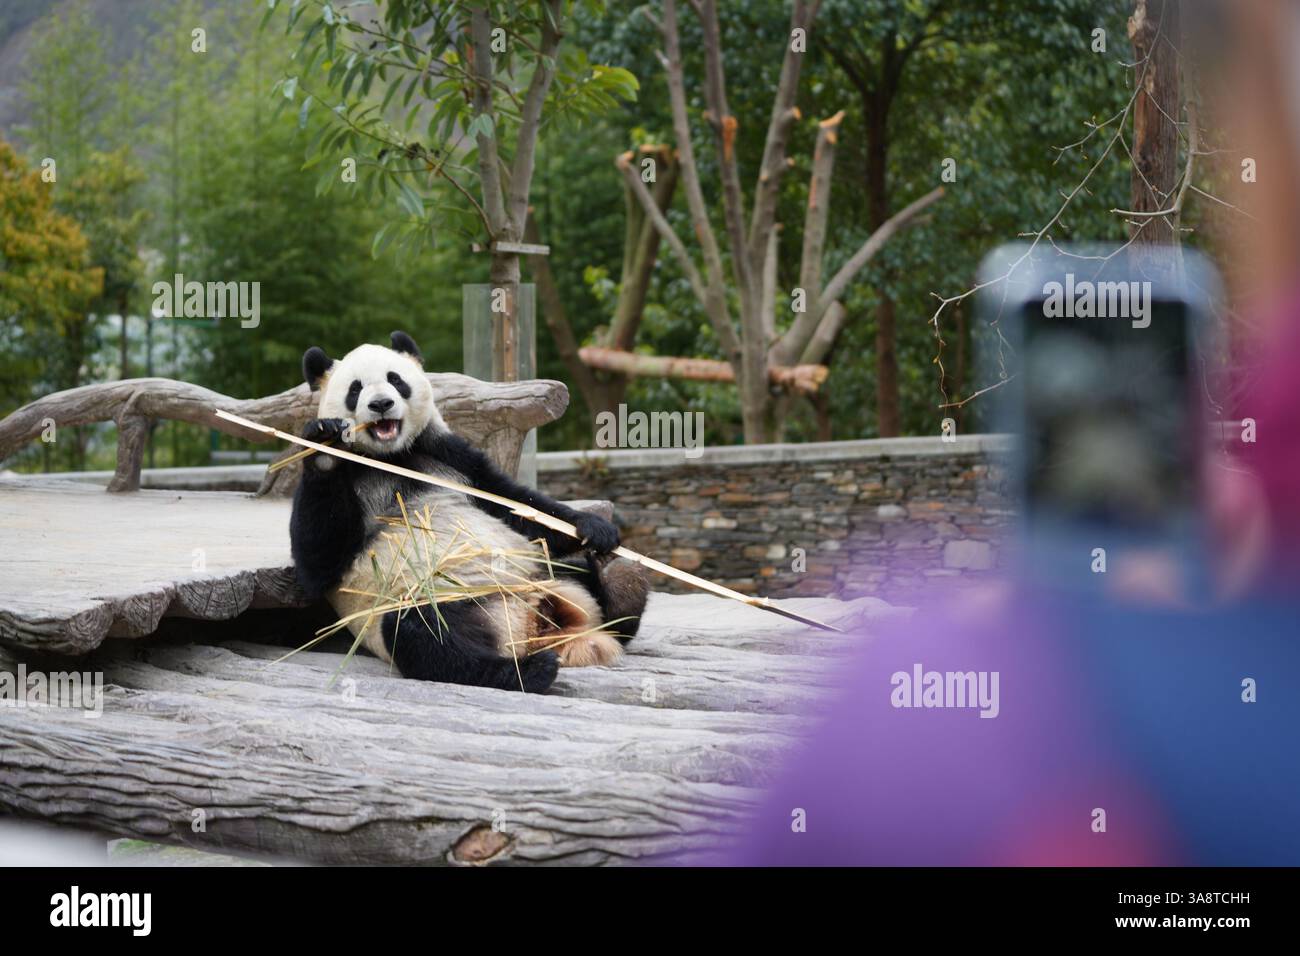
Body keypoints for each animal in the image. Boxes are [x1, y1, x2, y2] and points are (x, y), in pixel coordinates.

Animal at [289, 331, 649, 694]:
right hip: (435, 600)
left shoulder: (448, 455)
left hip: (539, 572)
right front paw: (325, 443)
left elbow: (515, 502)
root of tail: (529, 625)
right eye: (355, 389)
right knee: (428, 637)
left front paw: (595, 528)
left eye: (396, 380)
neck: (391, 456)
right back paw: (527, 670)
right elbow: (321, 560)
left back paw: (623, 586)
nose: (381, 404)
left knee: (581, 575)